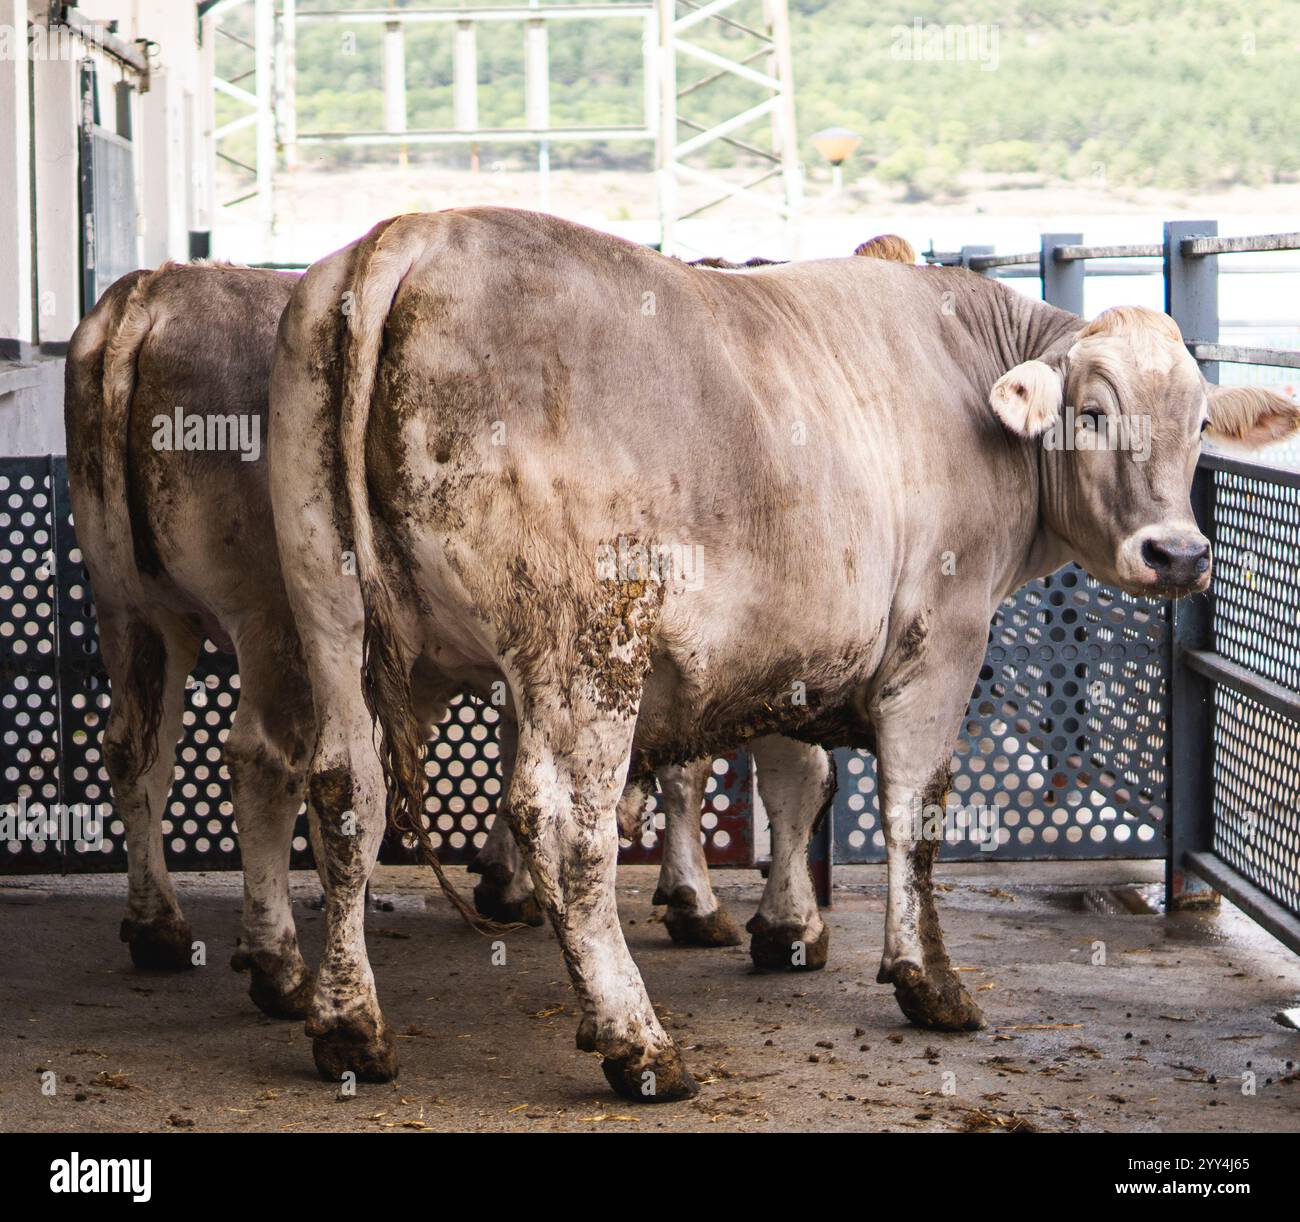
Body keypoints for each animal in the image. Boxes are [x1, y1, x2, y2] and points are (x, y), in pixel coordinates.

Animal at [268, 206, 1297, 1102]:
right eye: (1091, 414)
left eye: (1202, 424)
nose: (1179, 554)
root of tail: (418, 233)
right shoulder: (942, 637)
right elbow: (912, 806)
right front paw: (924, 976)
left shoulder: (790, 650)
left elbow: (800, 782)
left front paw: (790, 926)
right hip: (585, 648)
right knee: (564, 826)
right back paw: (637, 1040)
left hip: (328, 614)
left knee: (345, 790)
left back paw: (348, 1023)